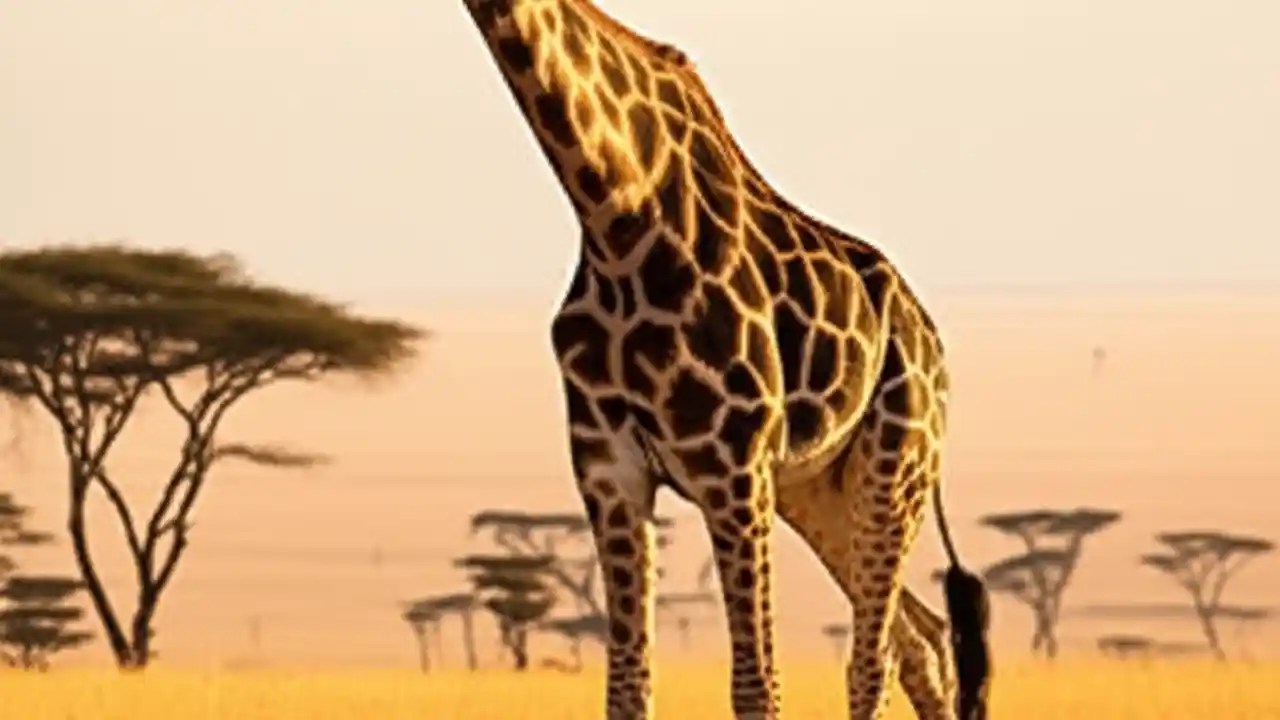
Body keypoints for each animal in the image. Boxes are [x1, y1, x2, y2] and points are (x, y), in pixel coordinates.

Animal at [458, 2, 992, 718]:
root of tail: (931, 339)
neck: (615, 216)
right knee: (923, 640)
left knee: (872, 660)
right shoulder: (608, 470)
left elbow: (756, 684)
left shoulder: (733, 469)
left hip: (896, 463)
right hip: (818, 493)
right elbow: (628, 686)